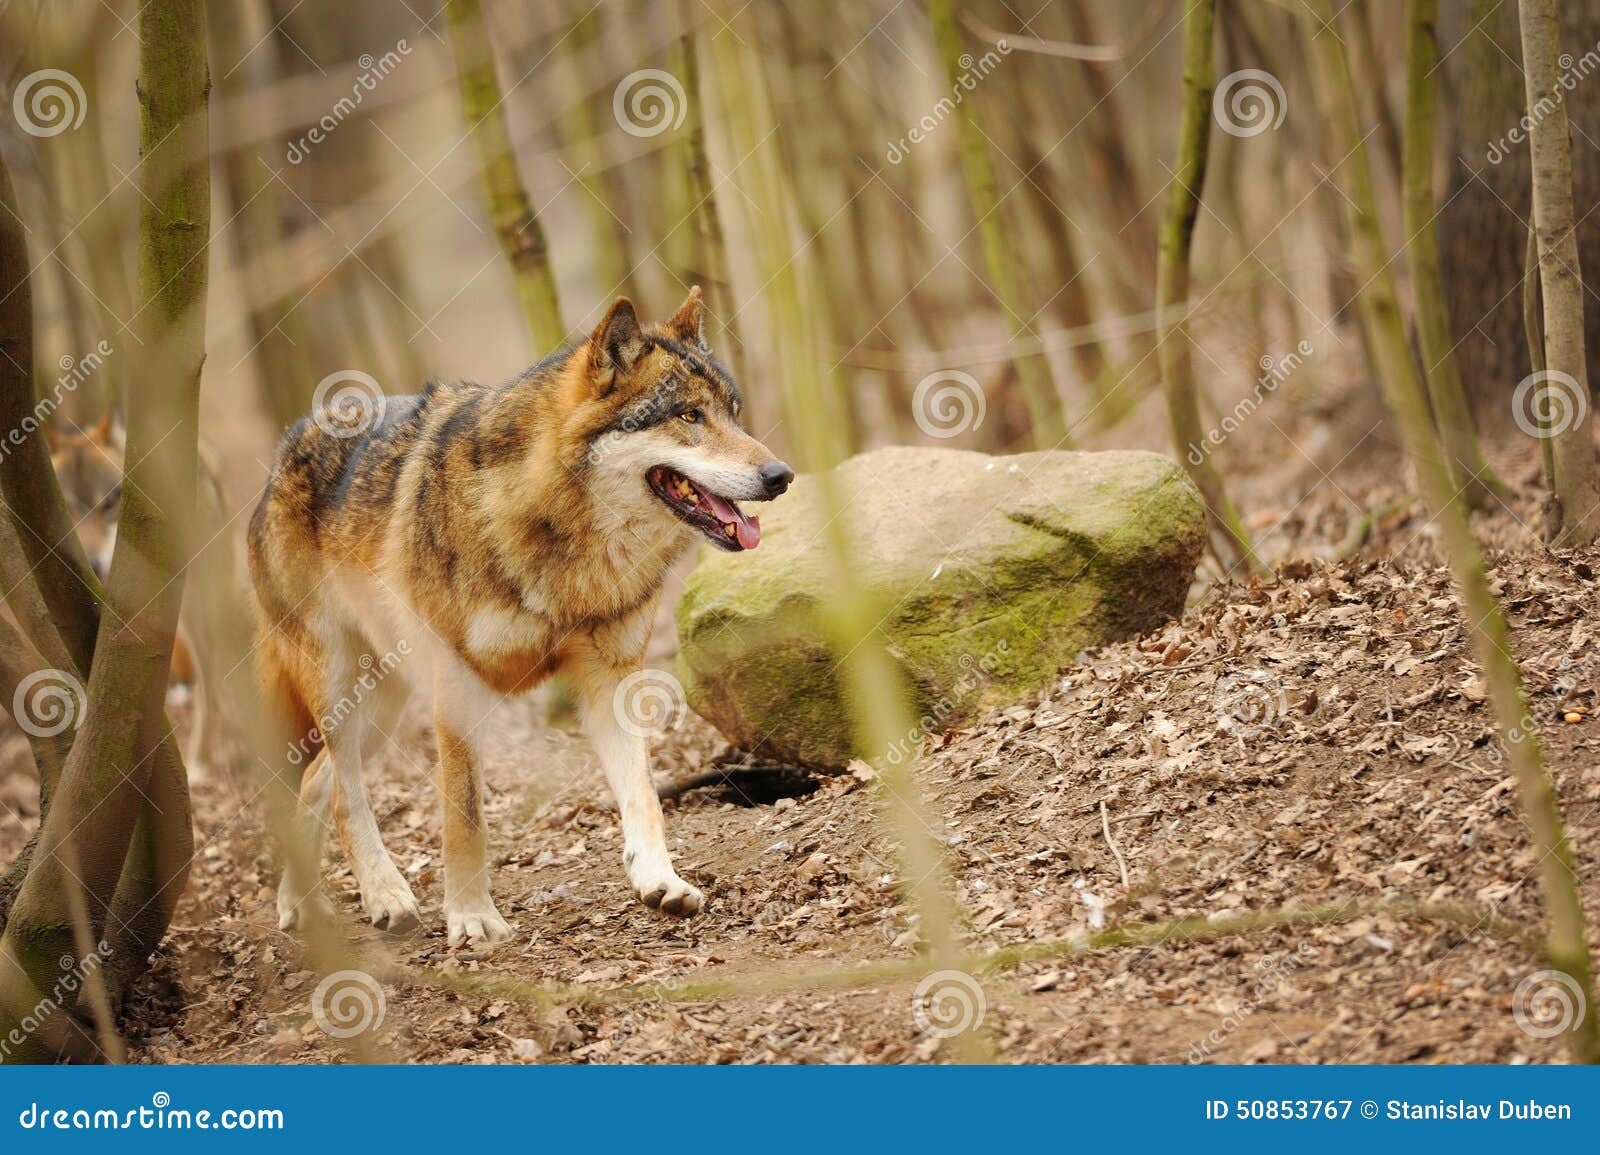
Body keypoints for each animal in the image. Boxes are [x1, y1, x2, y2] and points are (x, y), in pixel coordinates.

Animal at [249, 288, 793, 947]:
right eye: (689, 417)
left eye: (733, 414)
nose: (781, 476)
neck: (570, 545)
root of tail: (283, 452)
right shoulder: (457, 688)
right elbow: (465, 816)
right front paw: (471, 917)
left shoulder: (612, 680)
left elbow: (643, 794)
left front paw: (660, 881)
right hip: (340, 684)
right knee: (342, 794)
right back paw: (385, 896)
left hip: (383, 704)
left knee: (315, 780)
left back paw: (302, 903)